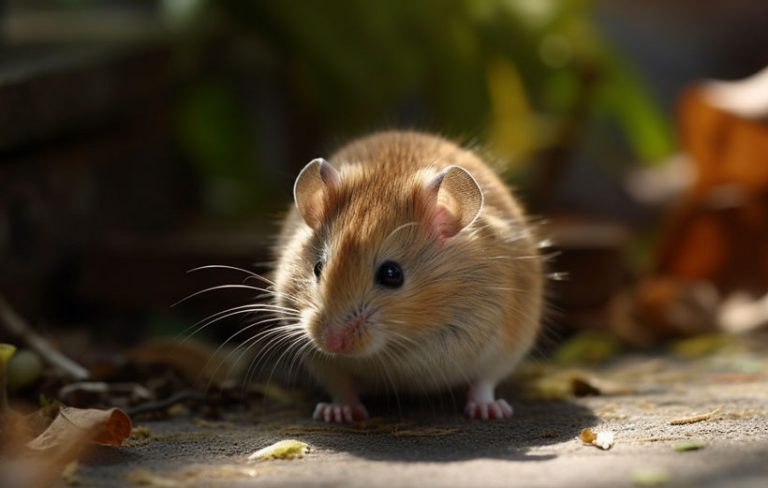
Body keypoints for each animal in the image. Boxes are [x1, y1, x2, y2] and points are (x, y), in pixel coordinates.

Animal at [272, 131, 543, 423]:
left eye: (392, 274)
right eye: (317, 267)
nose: (332, 342)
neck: (400, 341)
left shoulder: (502, 344)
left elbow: (484, 382)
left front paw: (489, 411)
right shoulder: (323, 361)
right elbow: (342, 386)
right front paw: (338, 413)